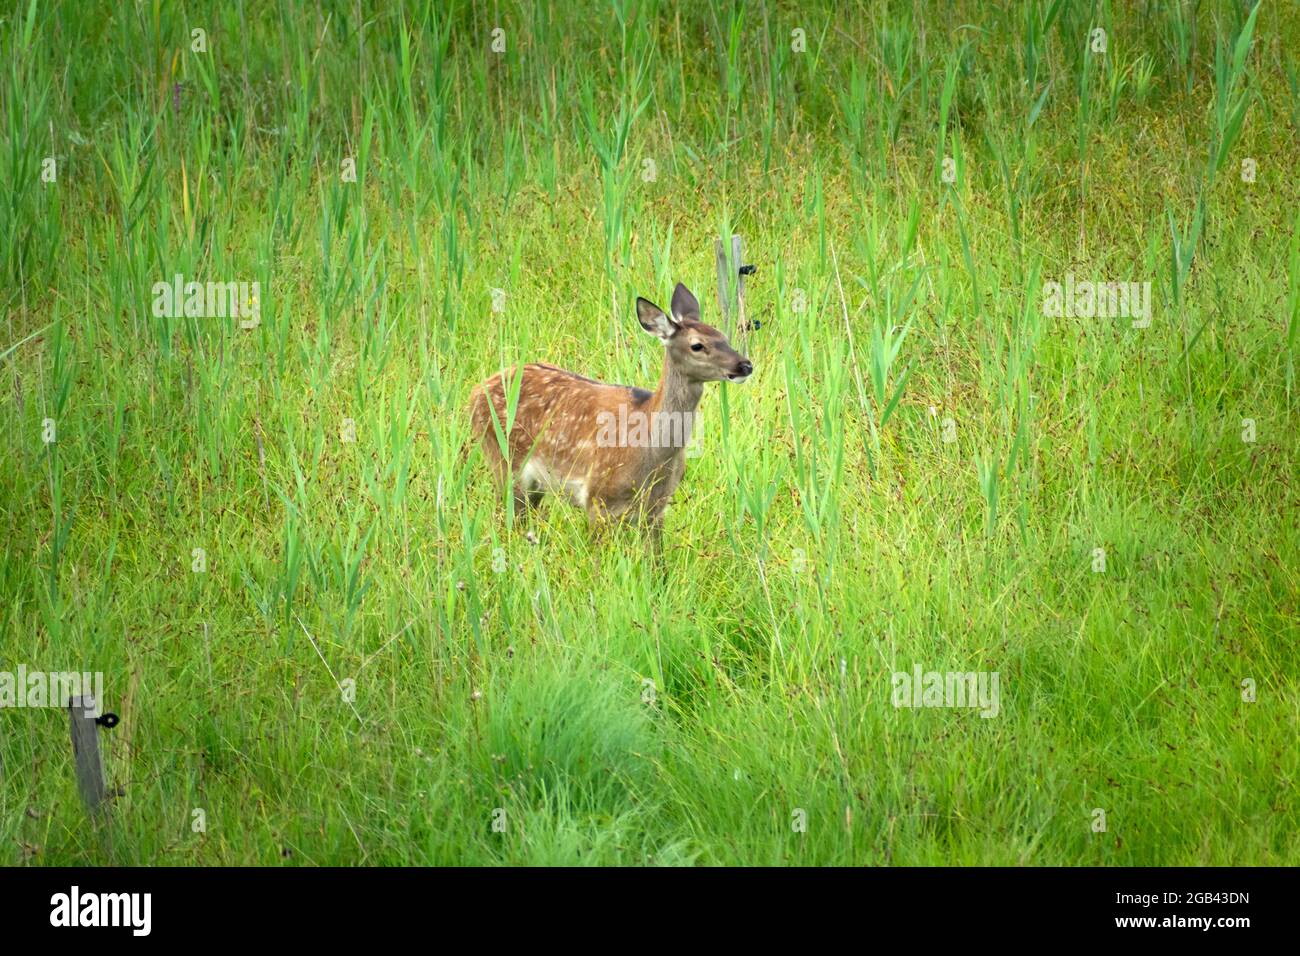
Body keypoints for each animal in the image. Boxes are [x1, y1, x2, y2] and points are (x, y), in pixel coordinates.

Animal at [469, 282, 752, 548]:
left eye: (723, 335)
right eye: (697, 345)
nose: (745, 365)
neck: (650, 454)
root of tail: (475, 392)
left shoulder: (657, 508)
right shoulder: (597, 499)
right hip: (503, 462)